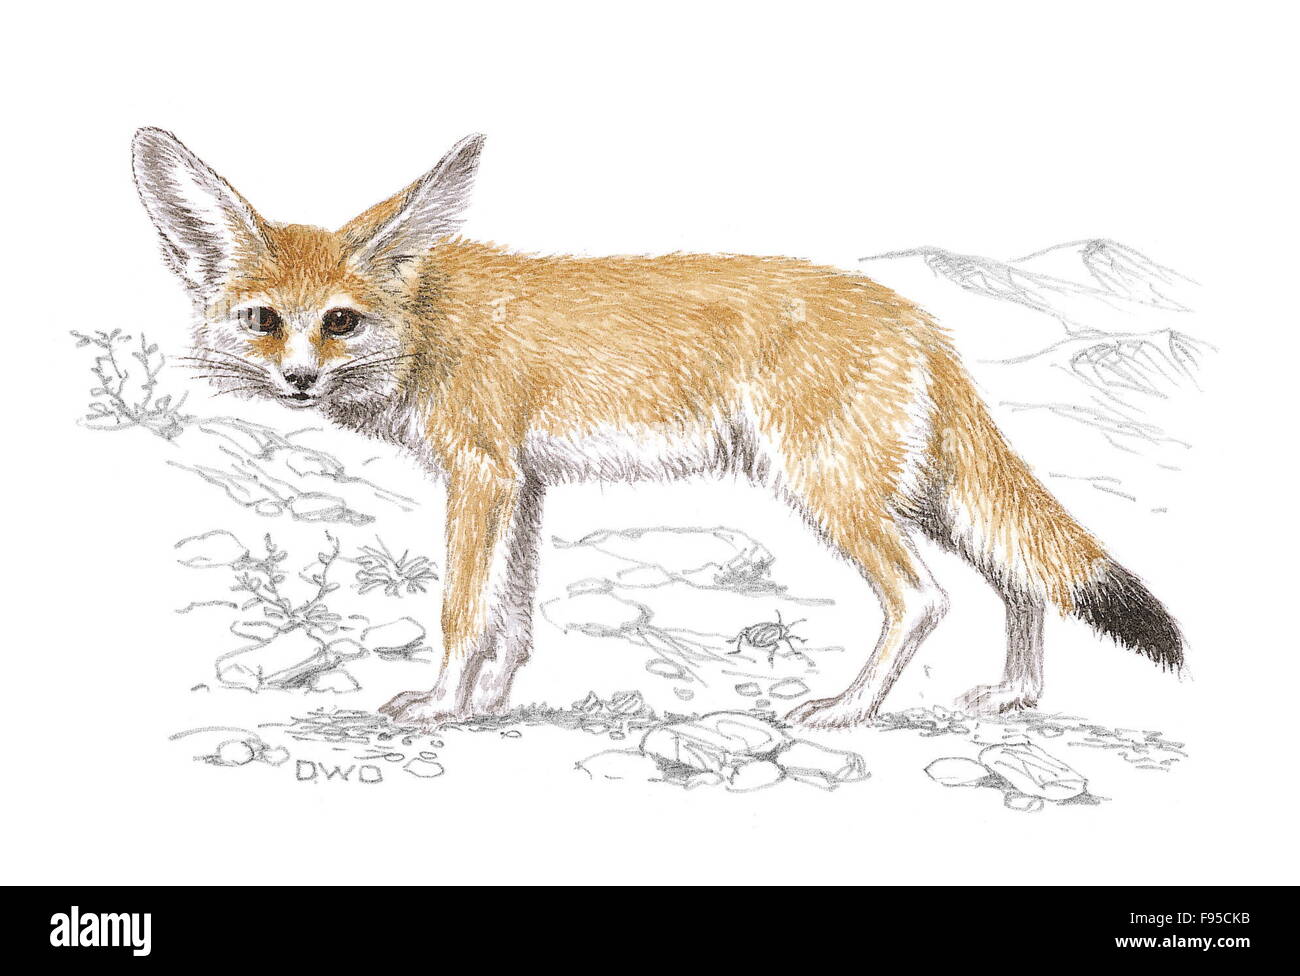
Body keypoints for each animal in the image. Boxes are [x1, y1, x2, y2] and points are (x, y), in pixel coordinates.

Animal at [131, 128, 1183, 729]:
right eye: (263, 320)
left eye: (340, 322)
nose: (300, 381)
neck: (428, 323)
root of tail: (918, 318)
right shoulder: (523, 484)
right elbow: (512, 620)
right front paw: (486, 707)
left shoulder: (481, 477)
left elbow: (463, 613)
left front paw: (435, 706)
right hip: (913, 493)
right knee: (1023, 577)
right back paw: (1013, 698)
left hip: (834, 494)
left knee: (925, 599)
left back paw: (846, 710)